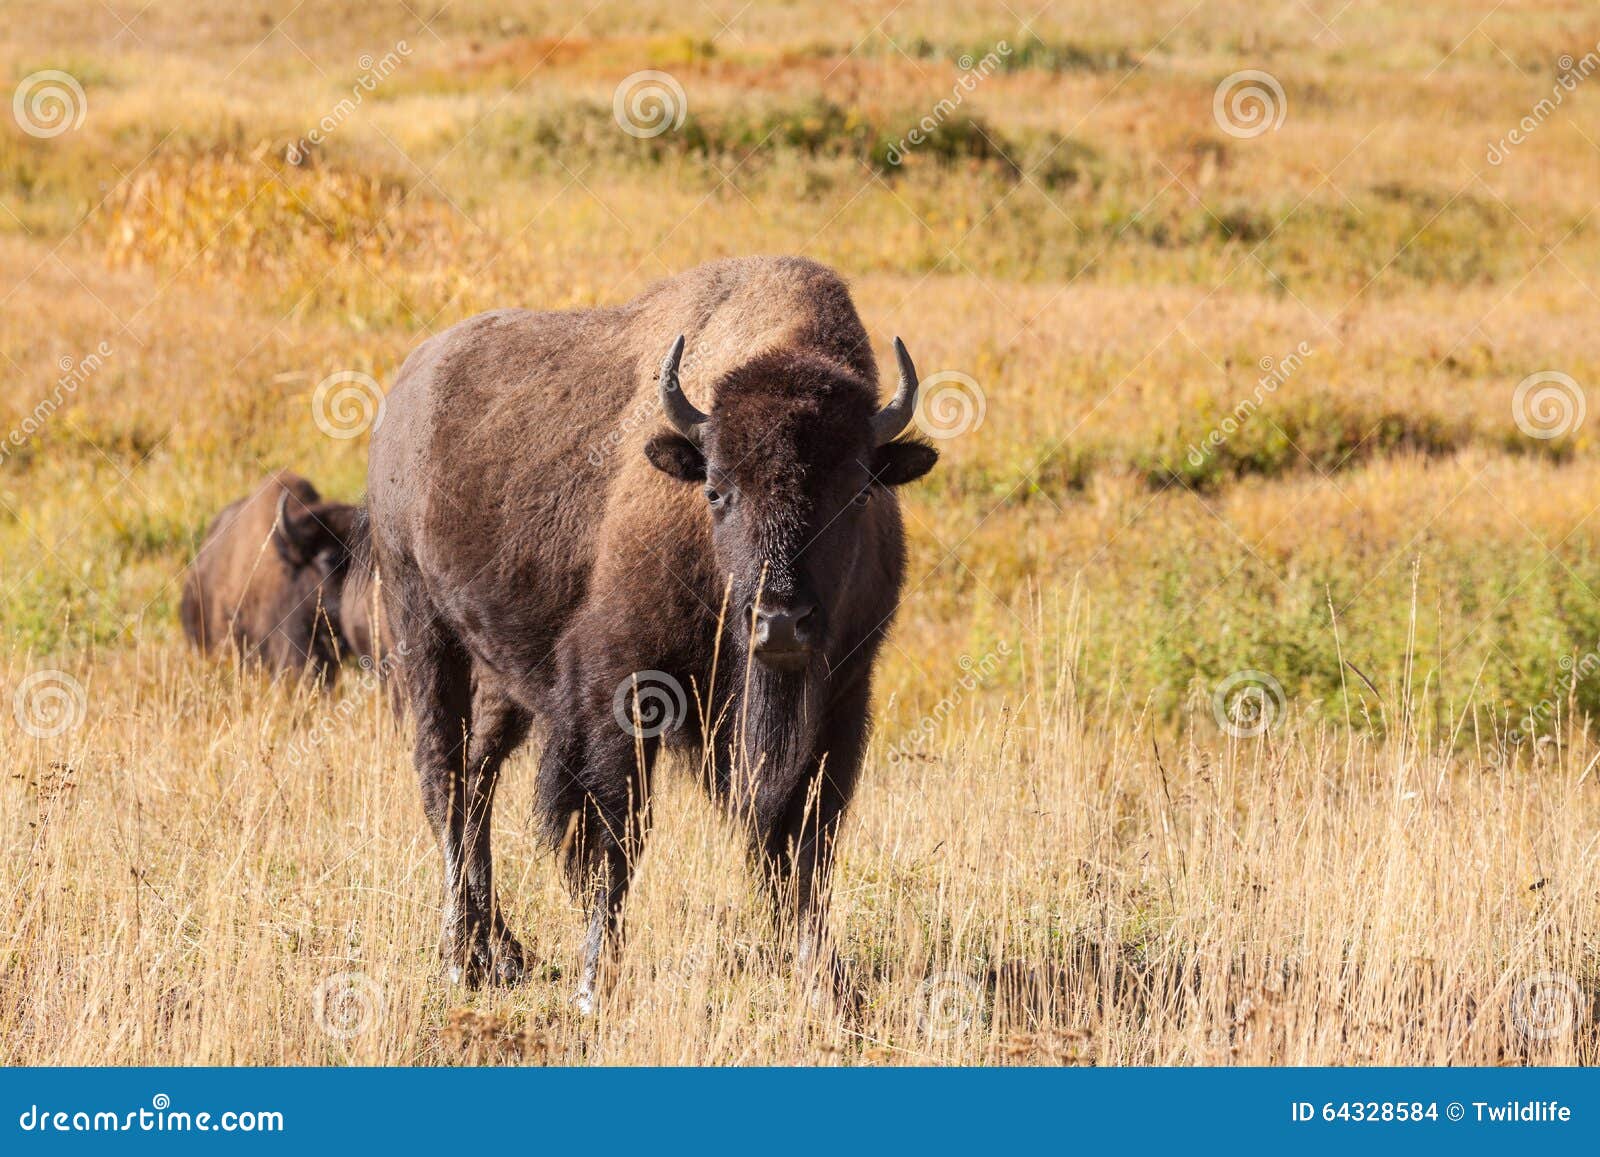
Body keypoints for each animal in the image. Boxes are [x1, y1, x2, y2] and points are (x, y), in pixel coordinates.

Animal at [367, 256, 940, 1007]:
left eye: (856, 492)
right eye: (717, 490)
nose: (779, 622)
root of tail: (405, 389)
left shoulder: (843, 700)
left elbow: (804, 842)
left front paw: (827, 983)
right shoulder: (621, 686)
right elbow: (615, 837)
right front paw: (593, 981)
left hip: (501, 675)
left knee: (478, 778)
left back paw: (503, 954)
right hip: (423, 626)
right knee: (444, 779)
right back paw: (461, 958)